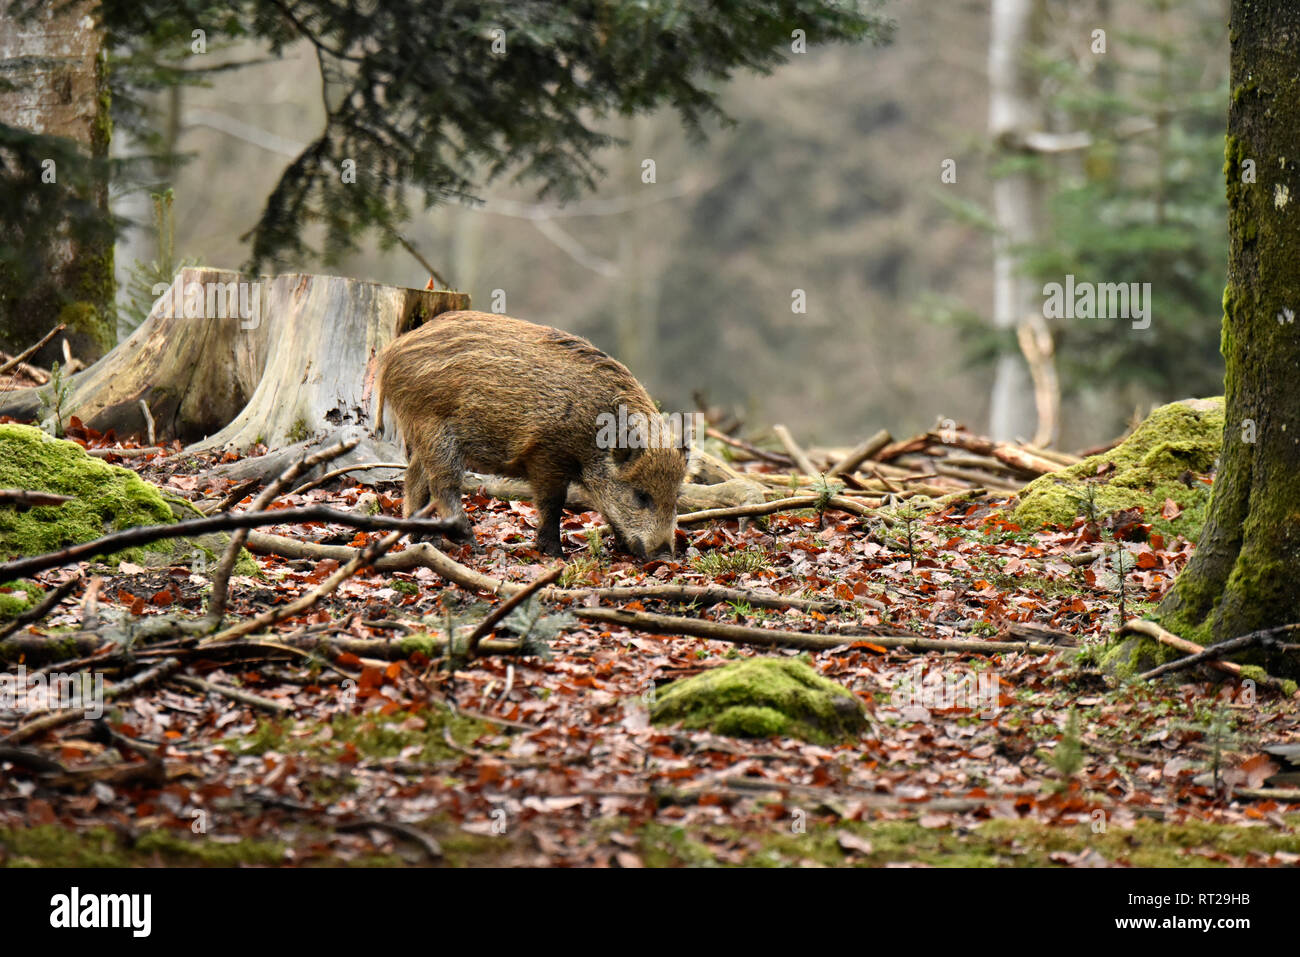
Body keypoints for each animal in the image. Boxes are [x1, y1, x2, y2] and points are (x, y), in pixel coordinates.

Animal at [376, 311, 688, 559]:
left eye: (676, 497)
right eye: (641, 495)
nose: (665, 556)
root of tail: (391, 352)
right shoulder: (546, 454)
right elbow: (553, 503)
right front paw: (555, 553)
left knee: (414, 478)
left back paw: (420, 538)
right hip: (435, 430)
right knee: (442, 484)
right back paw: (469, 543)